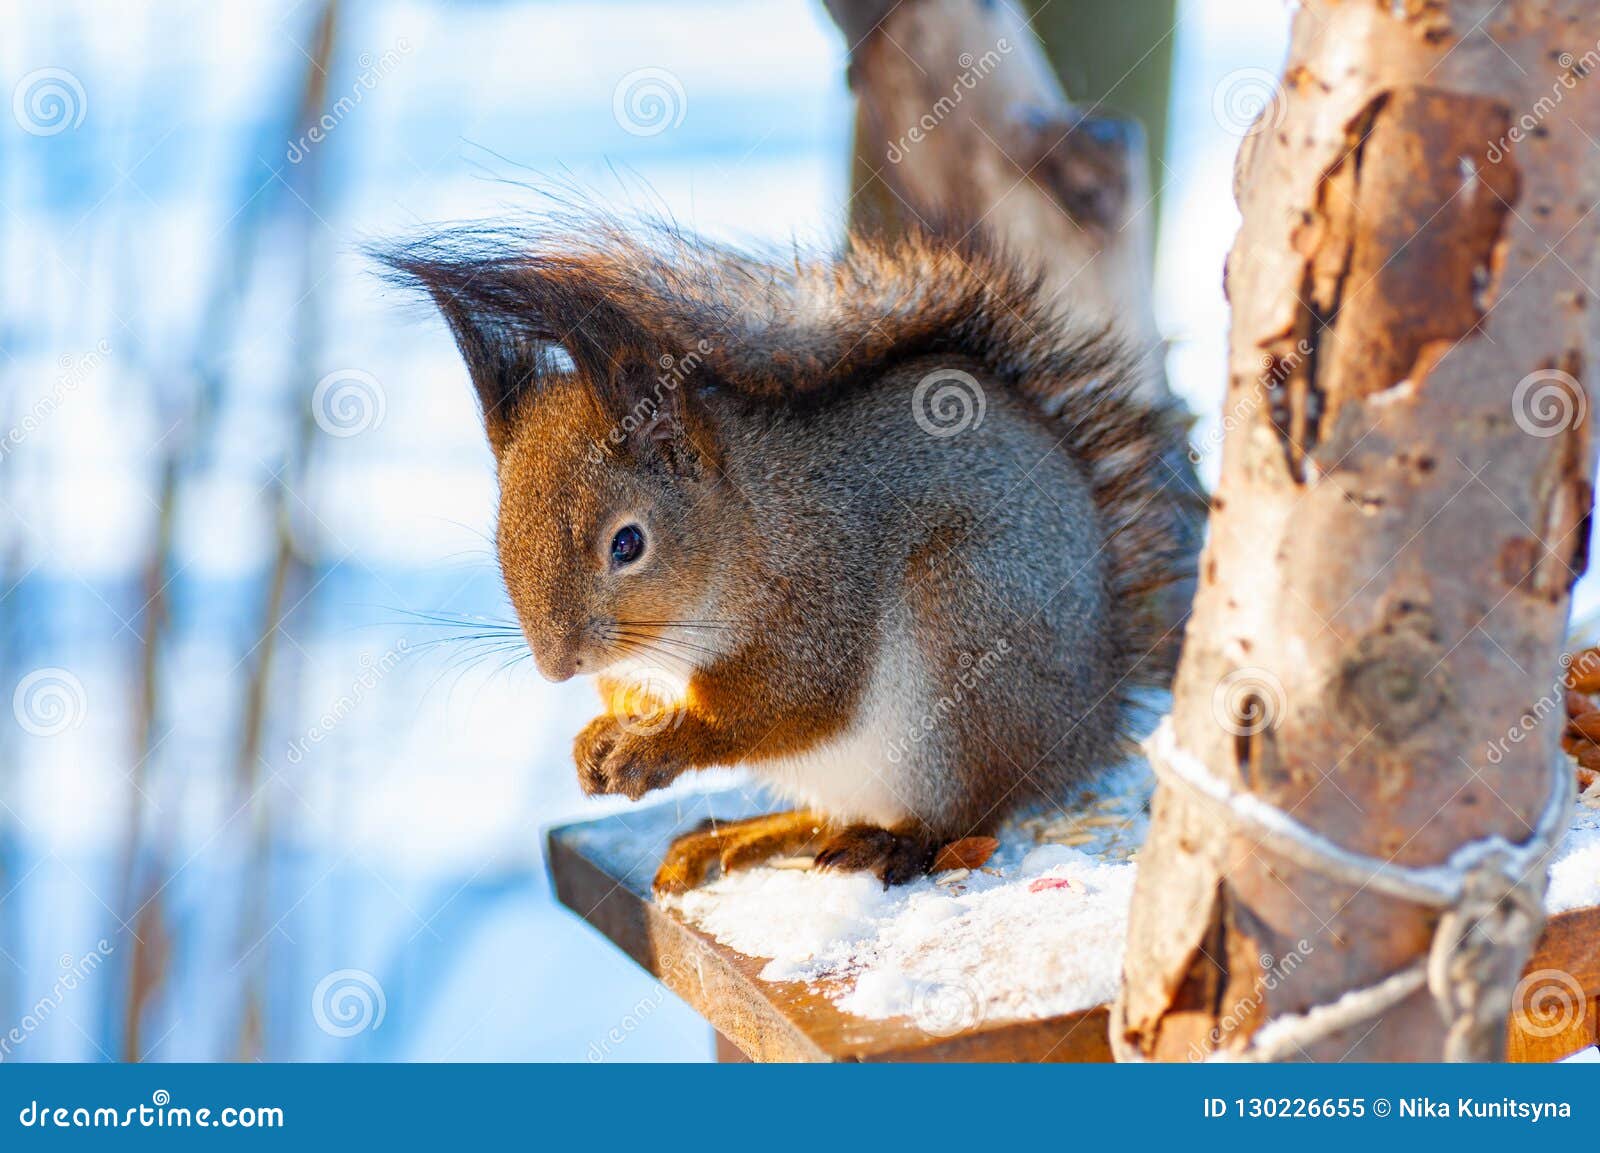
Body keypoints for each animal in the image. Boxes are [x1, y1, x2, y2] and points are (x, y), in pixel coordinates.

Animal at [383, 214, 1201, 893]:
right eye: (501, 536)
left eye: (628, 543)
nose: (558, 667)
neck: (745, 524)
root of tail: (1086, 719)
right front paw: (598, 736)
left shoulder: (820, 591)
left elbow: (792, 702)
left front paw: (660, 748)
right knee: (831, 812)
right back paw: (749, 833)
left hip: (966, 635)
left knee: (967, 813)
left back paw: (894, 842)